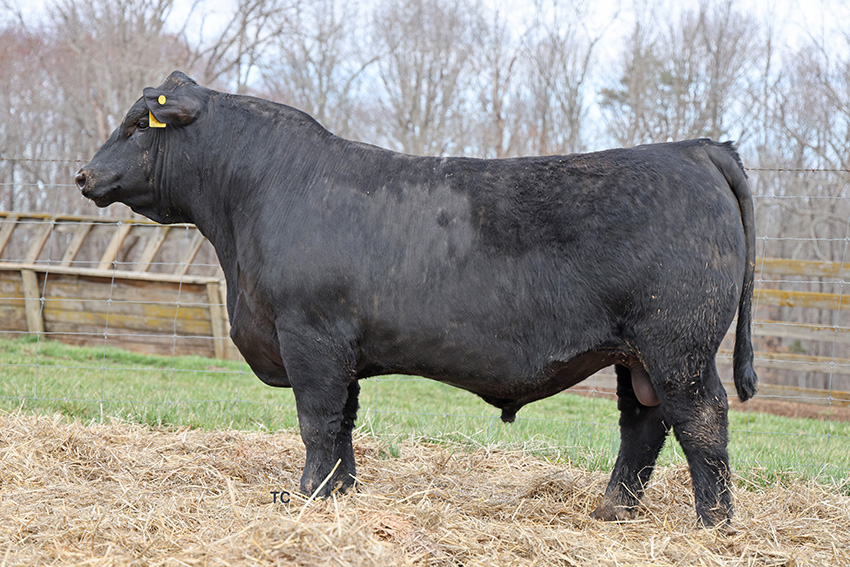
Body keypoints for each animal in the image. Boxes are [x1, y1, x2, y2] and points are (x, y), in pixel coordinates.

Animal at [76, 71, 757, 528]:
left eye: (136, 125)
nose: (84, 174)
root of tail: (696, 148)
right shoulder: (342, 348)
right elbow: (343, 425)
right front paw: (340, 493)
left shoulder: (308, 335)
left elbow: (316, 422)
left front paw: (306, 496)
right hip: (637, 352)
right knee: (643, 422)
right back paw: (610, 511)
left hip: (678, 342)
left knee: (701, 418)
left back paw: (714, 525)